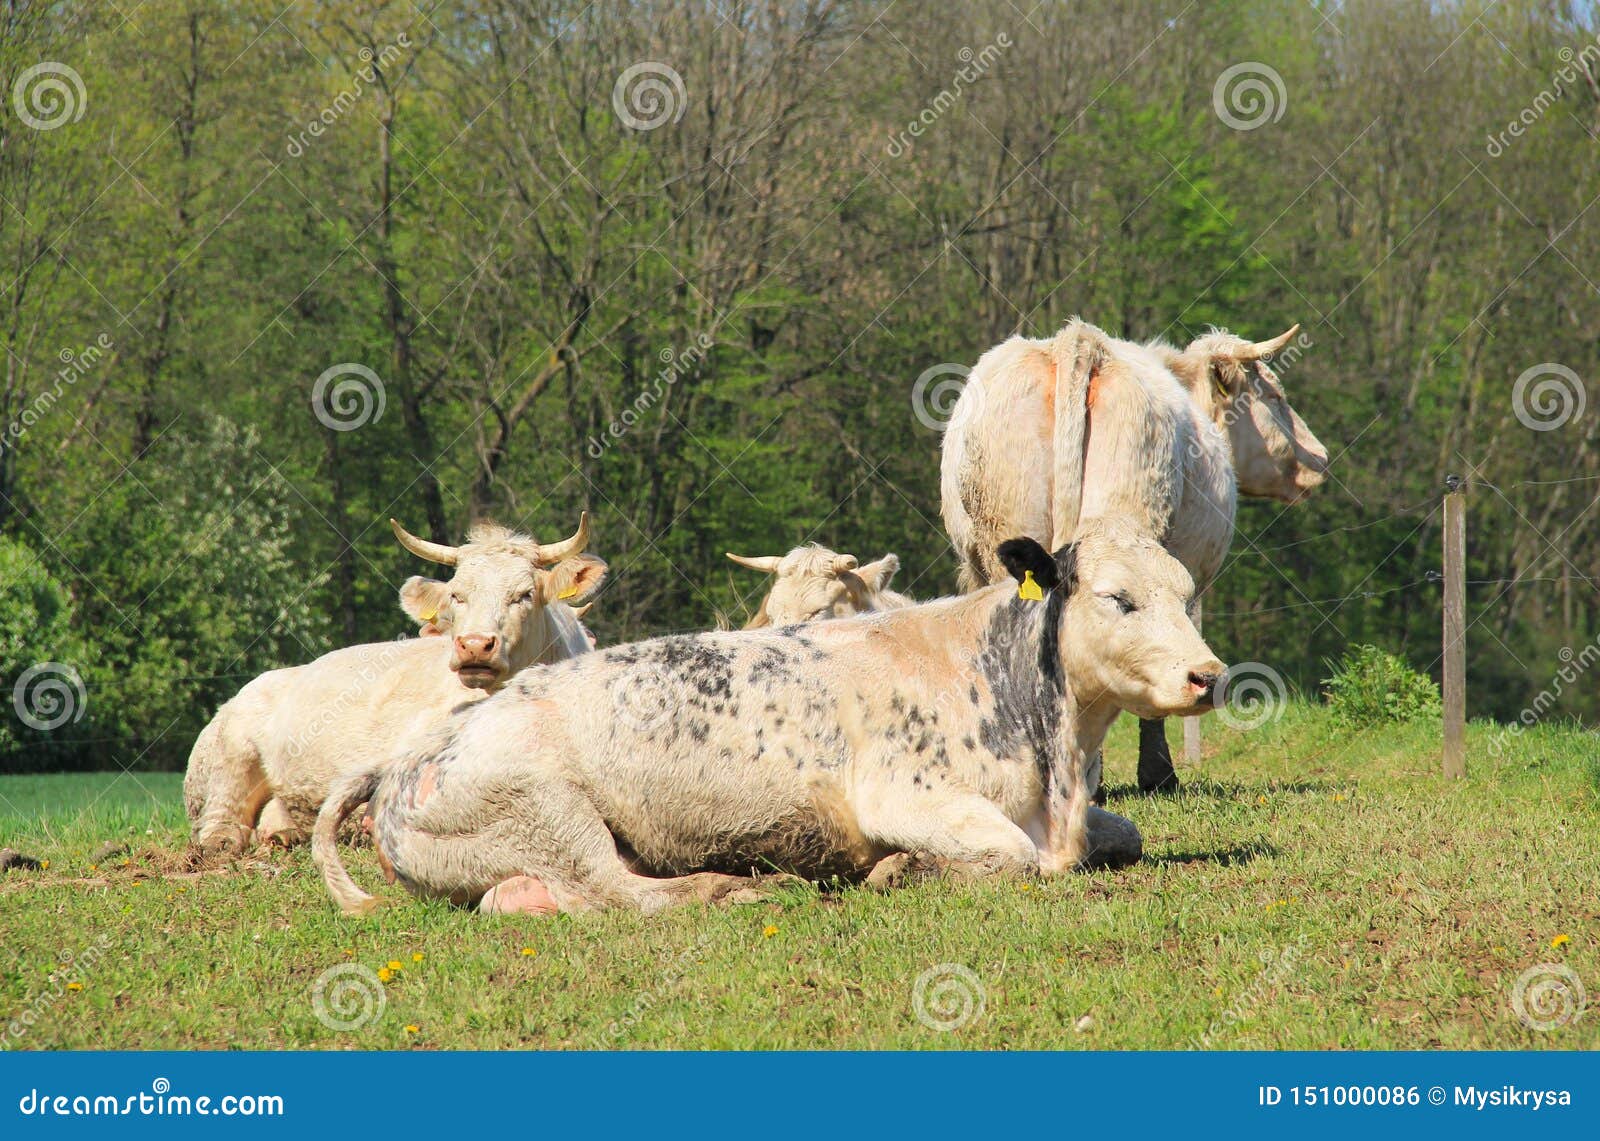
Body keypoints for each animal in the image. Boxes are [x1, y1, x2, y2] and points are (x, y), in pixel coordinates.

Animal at [183, 514, 606, 856]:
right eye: (457, 595)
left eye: (524, 594)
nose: (473, 645)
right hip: (232, 748)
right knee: (224, 809)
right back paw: (224, 839)